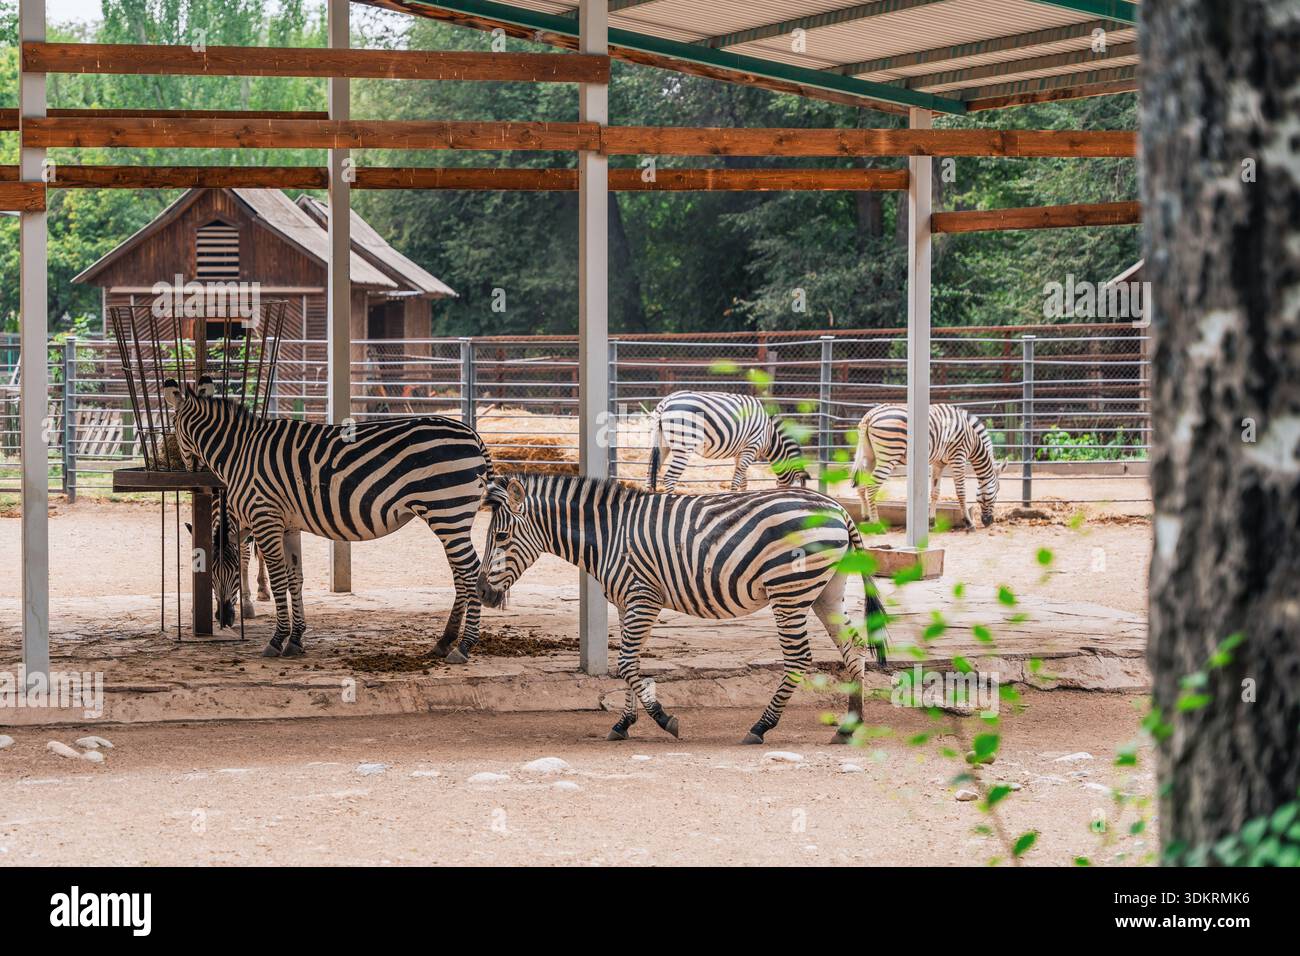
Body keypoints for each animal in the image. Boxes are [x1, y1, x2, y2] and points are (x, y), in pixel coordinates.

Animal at [164, 375, 492, 660]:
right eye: (209, 570)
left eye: (231, 570)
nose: (223, 618)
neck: (239, 452)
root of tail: (473, 435)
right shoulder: (288, 525)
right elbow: (295, 579)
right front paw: (296, 639)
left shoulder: (265, 516)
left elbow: (278, 578)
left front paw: (276, 640)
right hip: (452, 518)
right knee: (460, 573)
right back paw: (445, 641)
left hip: (447, 512)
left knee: (470, 571)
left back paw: (464, 646)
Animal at [476, 473, 889, 745]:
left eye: (501, 536)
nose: (481, 592)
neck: (608, 536)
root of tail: (837, 508)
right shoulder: (627, 603)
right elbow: (629, 662)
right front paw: (624, 724)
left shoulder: (644, 597)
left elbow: (626, 663)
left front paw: (664, 720)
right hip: (826, 592)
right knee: (853, 648)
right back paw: (850, 726)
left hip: (790, 591)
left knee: (799, 658)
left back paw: (760, 727)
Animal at [647, 390, 810, 493]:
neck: (770, 434)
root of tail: (666, 401)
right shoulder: (751, 447)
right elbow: (737, 479)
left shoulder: (741, 452)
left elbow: (743, 480)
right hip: (684, 445)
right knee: (669, 478)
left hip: (662, 443)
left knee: (650, 474)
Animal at [851, 403, 1004, 530]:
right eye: (996, 493)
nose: (988, 522)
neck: (973, 440)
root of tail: (869, 415)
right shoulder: (958, 457)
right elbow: (961, 492)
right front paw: (968, 522)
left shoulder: (938, 463)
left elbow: (935, 492)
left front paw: (931, 522)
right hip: (888, 456)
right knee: (871, 487)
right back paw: (877, 524)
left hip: (869, 456)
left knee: (862, 485)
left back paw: (866, 518)